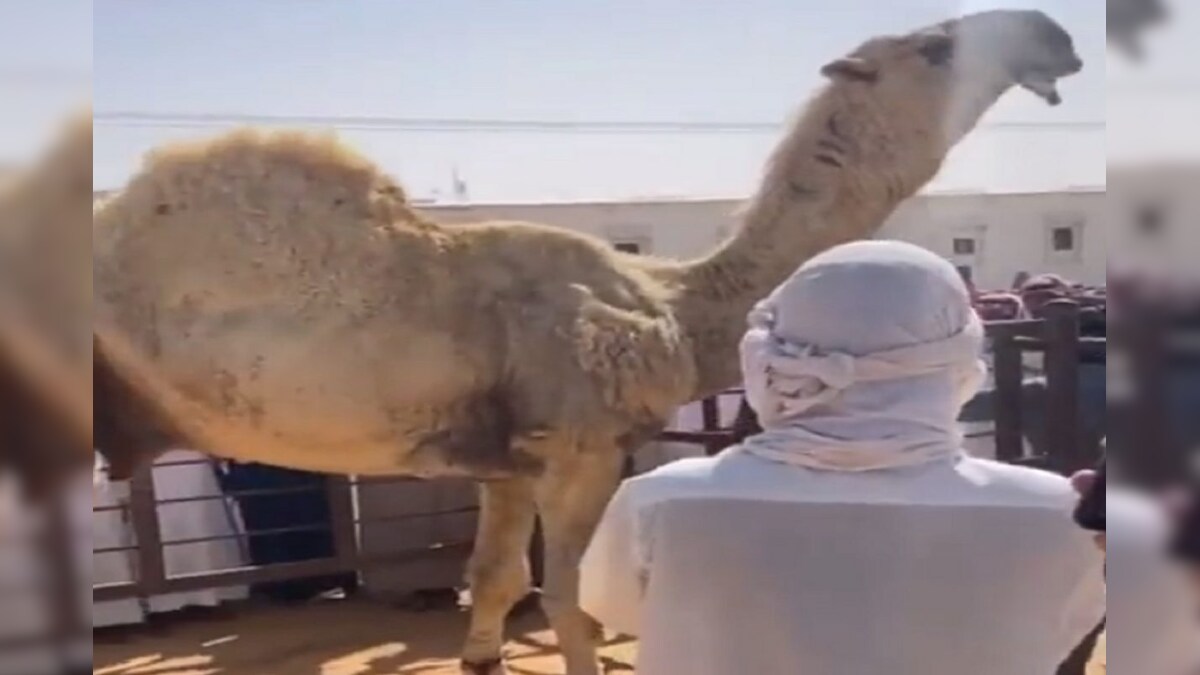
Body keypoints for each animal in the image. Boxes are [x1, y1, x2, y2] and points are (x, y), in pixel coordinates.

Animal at [93, 11, 1082, 675]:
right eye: (934, 47)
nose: (1054, 33)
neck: (678, 305)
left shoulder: (505, 462)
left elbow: (494, 582)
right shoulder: (583, 445)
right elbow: (573, 601)